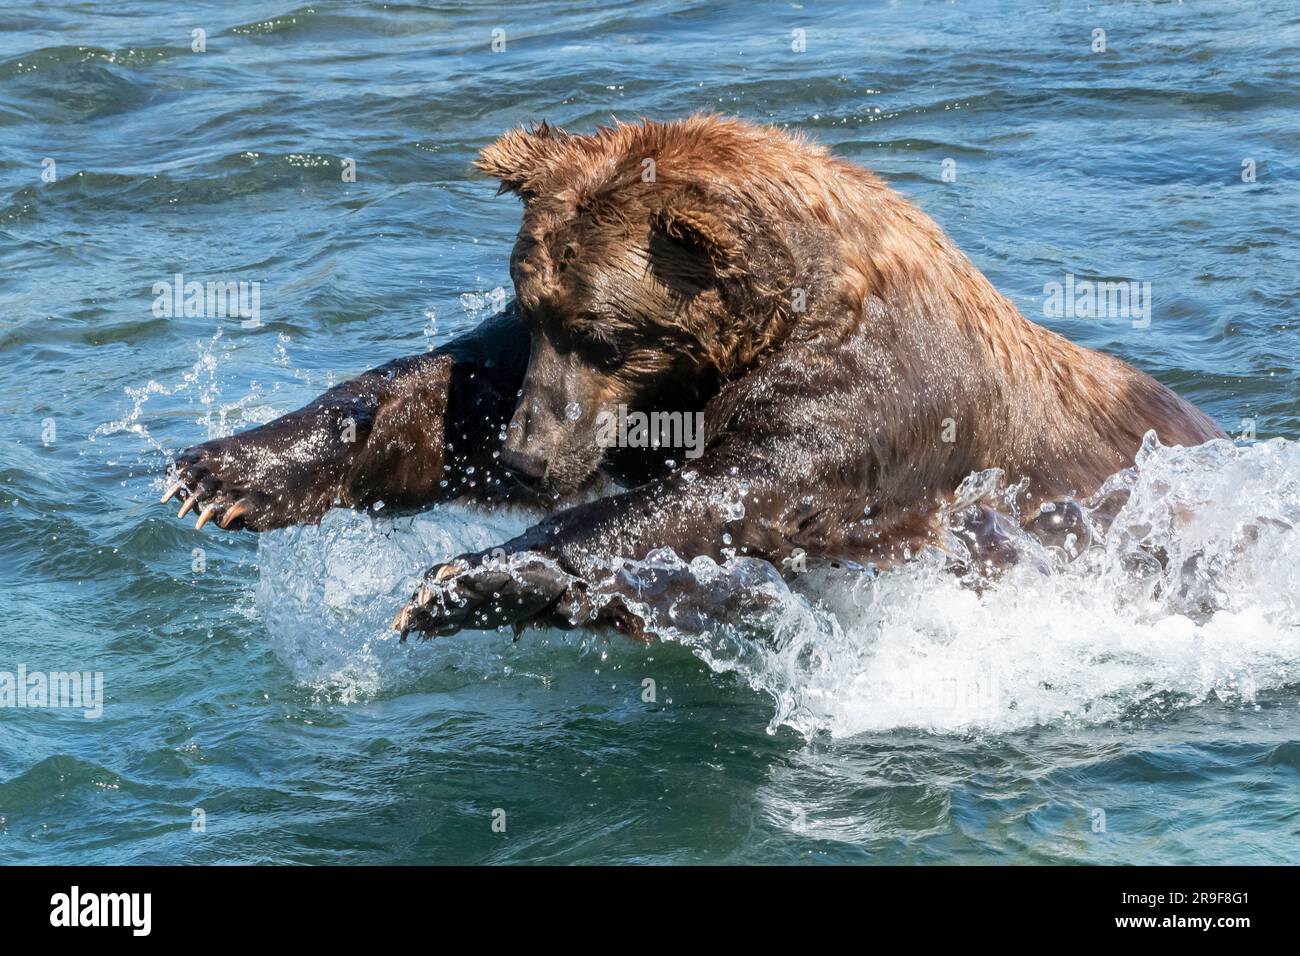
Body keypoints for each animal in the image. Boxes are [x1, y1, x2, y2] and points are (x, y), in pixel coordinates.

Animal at [160, 114, 1226, 640]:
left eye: (603, 328)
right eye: (533, 303)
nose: (529, 458)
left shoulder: (868, 399)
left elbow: (738, 492)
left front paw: (468, 579)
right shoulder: (622, 394)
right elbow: (446, 391)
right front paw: (225, 473)